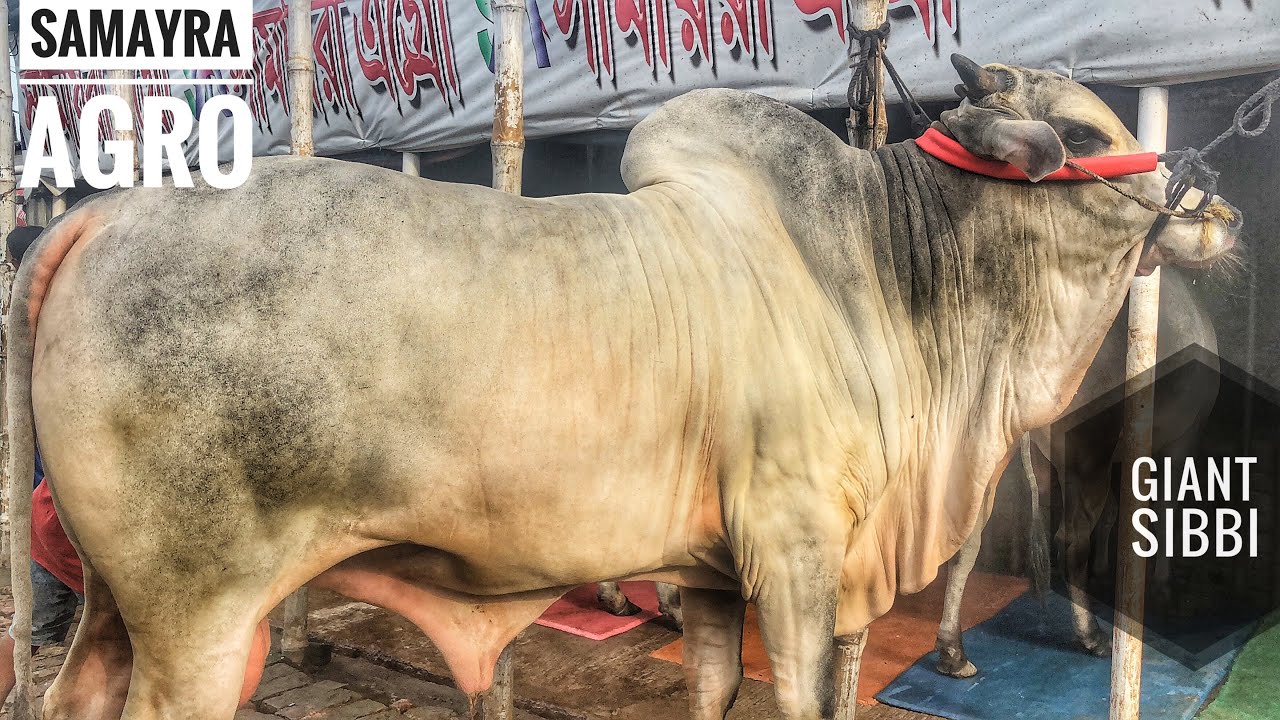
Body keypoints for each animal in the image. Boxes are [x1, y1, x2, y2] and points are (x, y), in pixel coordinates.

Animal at [933, 269, 1220, 678]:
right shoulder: (1180, 441)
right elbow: (1164, 512)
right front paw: (1160, 586)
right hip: (1088, 459)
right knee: (1071, 541)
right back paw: (1092, 636)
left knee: (968, 539)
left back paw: (953, 653)